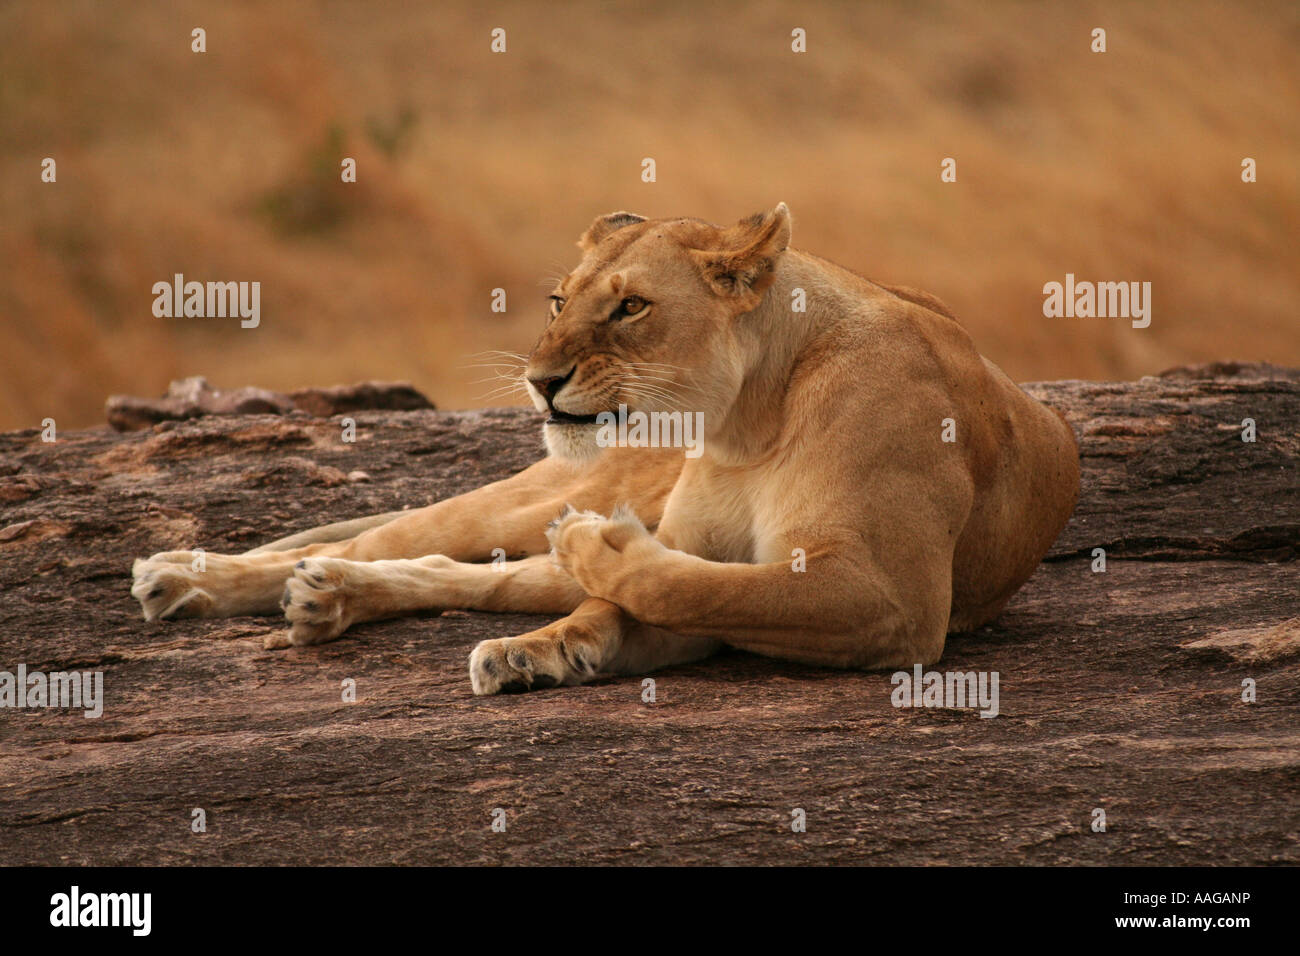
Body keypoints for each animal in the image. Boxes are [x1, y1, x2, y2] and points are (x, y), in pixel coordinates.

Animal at [131, 204, 1080, 694]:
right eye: (560, 298)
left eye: (631, 307)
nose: (540, 379)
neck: (746, 423)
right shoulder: (752, 565)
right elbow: (645, 593)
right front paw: (551, 645)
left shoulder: (890, 597)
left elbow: (680, 584)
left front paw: (552, 629)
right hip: (545, 491)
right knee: (387, 536)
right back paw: (189, 579)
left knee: (465, 571)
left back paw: (325, 597)